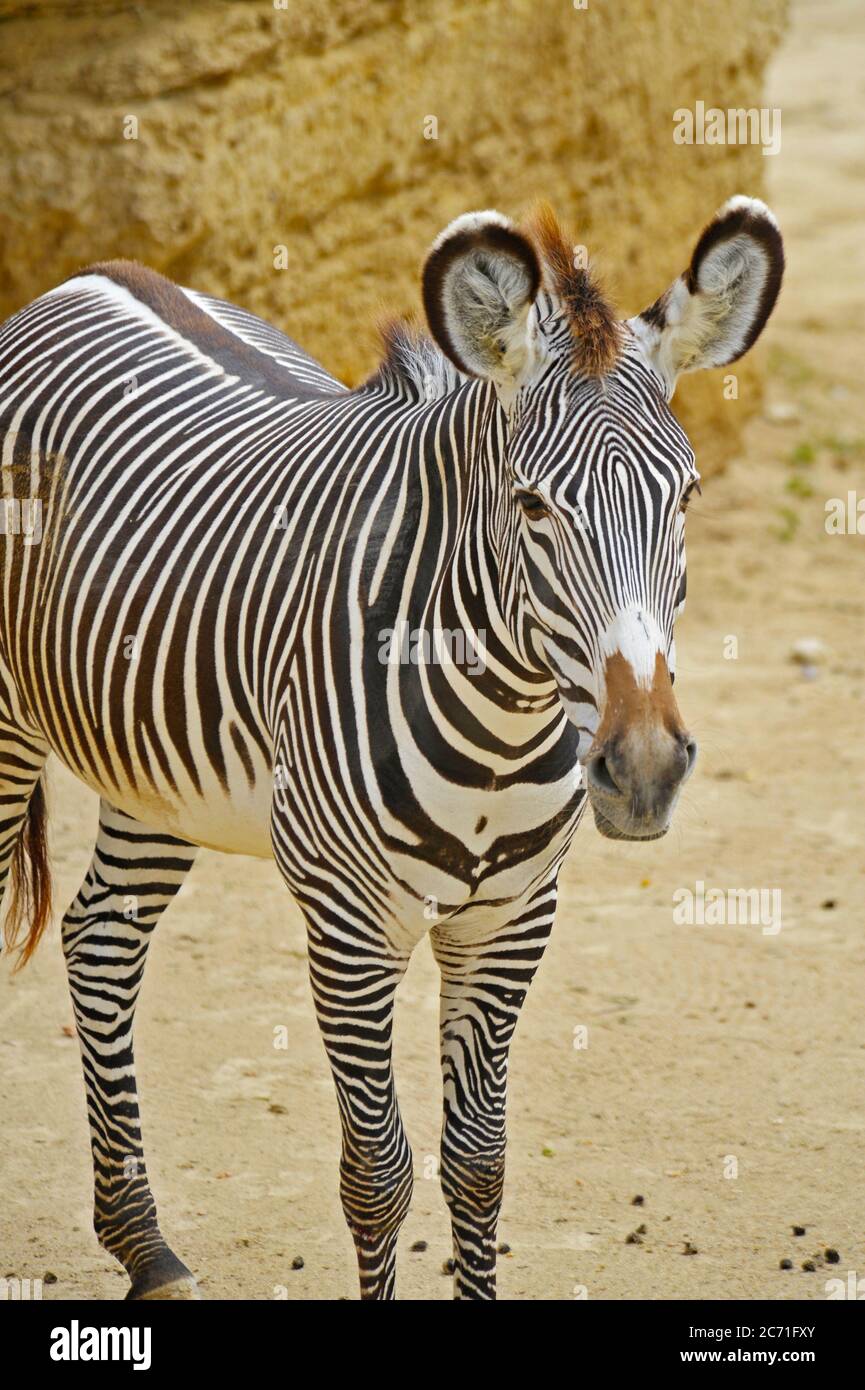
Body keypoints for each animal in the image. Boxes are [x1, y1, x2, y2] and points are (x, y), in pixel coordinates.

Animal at [0, 194, 783, 1300]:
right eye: (531, 506)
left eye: (687, 496)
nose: (641, 772)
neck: (504, 726)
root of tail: (88, 277)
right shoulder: (348, 924)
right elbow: (376, 1172)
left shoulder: (511, 921)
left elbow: (478, 1162)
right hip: (11, 726)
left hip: (151, 765)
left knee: (102, 939)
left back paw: (144, 1243)